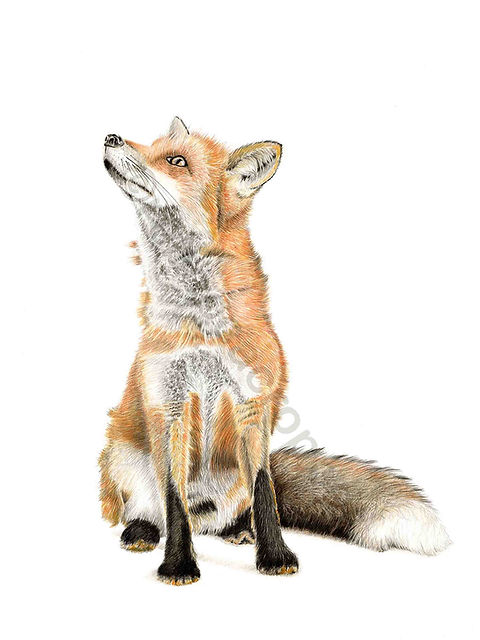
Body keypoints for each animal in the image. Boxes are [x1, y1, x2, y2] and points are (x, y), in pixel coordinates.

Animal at [100, 117, 450, 585]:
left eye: (175, 160)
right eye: (153, 145)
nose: (111, 137)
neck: (201, 326)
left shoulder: (253, 404)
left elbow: (265, 491)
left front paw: (275, 555)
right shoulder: (168, 405)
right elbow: (173, 499)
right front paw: (178, 565)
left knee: (232, 510)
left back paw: (237, 531)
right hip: (120, 457)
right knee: (152, 510)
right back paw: (142, 531)